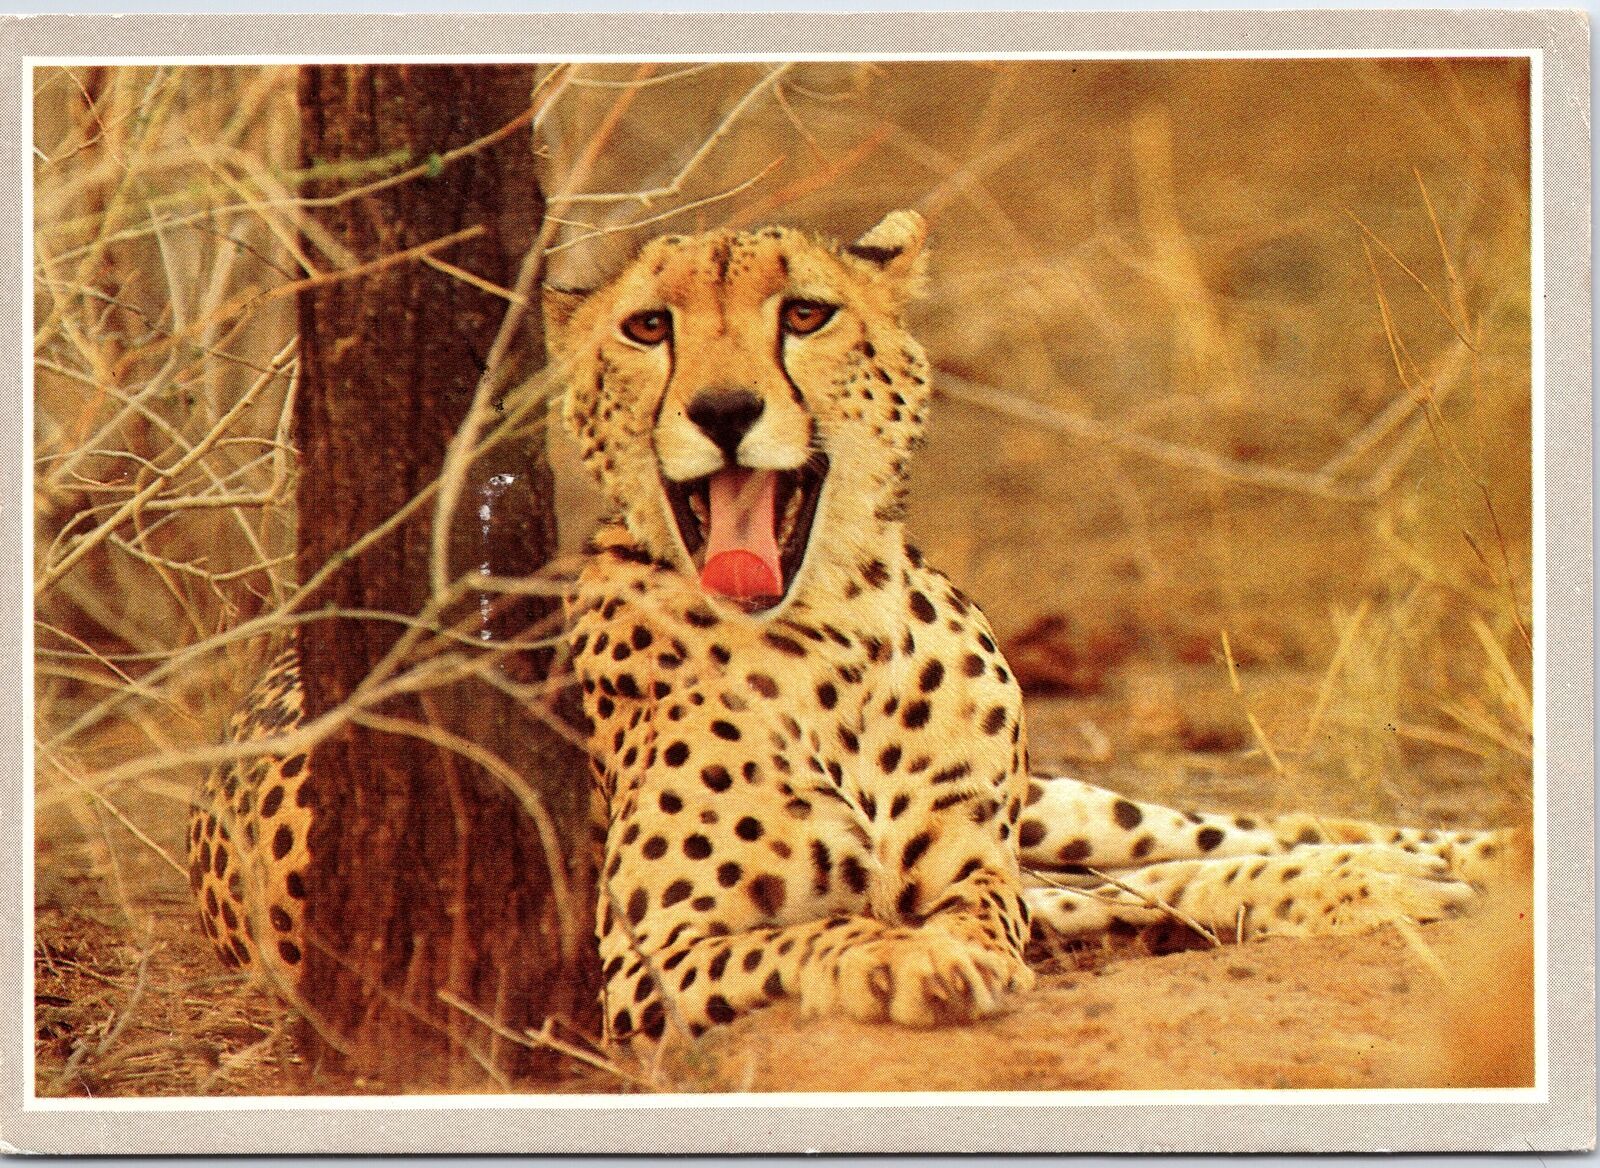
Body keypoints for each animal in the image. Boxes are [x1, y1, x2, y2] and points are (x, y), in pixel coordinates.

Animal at [190, 211, 1505, 1043]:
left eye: (806, 315)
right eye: (649, 328)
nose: (725, 411)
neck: (834, 634)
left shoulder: (971, 861)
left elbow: (989, 904)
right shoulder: (643, 955)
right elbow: (813, 936)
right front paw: (901, 960)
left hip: (1056, 802)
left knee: (1214, 833)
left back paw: (1460, 854)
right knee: (1136, 879)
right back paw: (1386, 884)